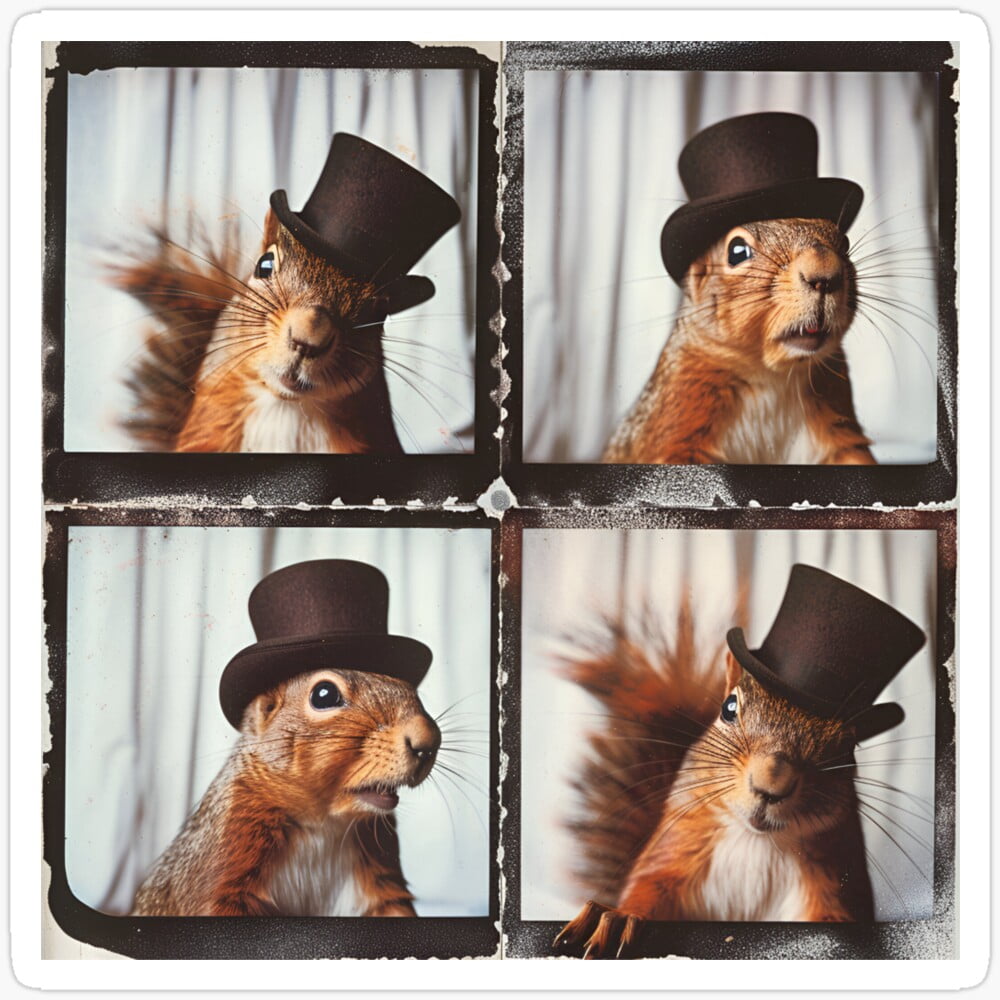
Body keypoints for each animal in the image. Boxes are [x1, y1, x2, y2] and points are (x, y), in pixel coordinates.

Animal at [131, 668, 440, 917]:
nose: (428, 741)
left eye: (412, 687)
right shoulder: (226, 845)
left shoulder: (379, 876)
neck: (323, 824)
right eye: (324, 695)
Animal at [551, 565, 925, 958]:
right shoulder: (675, 852)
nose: (772, 785)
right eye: (729, 708)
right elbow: (648, 887)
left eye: (847, 746)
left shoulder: (830, 880)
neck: (756, 841)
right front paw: (617, 918)